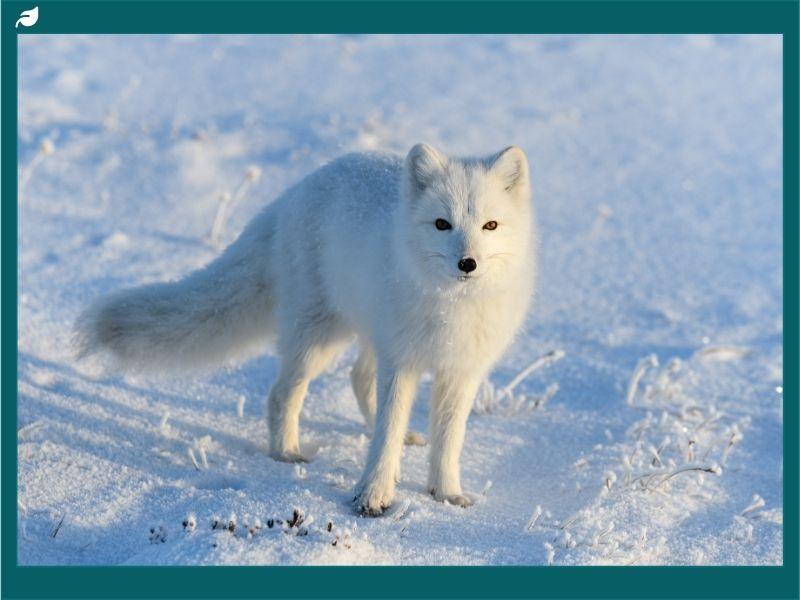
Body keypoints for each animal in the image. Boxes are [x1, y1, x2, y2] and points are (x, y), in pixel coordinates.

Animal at [75, 143, 536, 516]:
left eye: (490, 226)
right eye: (442, 224)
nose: (467, 263)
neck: (451, 309)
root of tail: (295, 191)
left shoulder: (461, 370)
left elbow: (449, 440)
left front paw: (446, 494)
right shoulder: (402, 361)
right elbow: (386, 434)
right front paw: (373, 495)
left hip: (365, 332)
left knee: (358, 376)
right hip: (318, 338)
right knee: (283, 393)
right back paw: (287, 453)